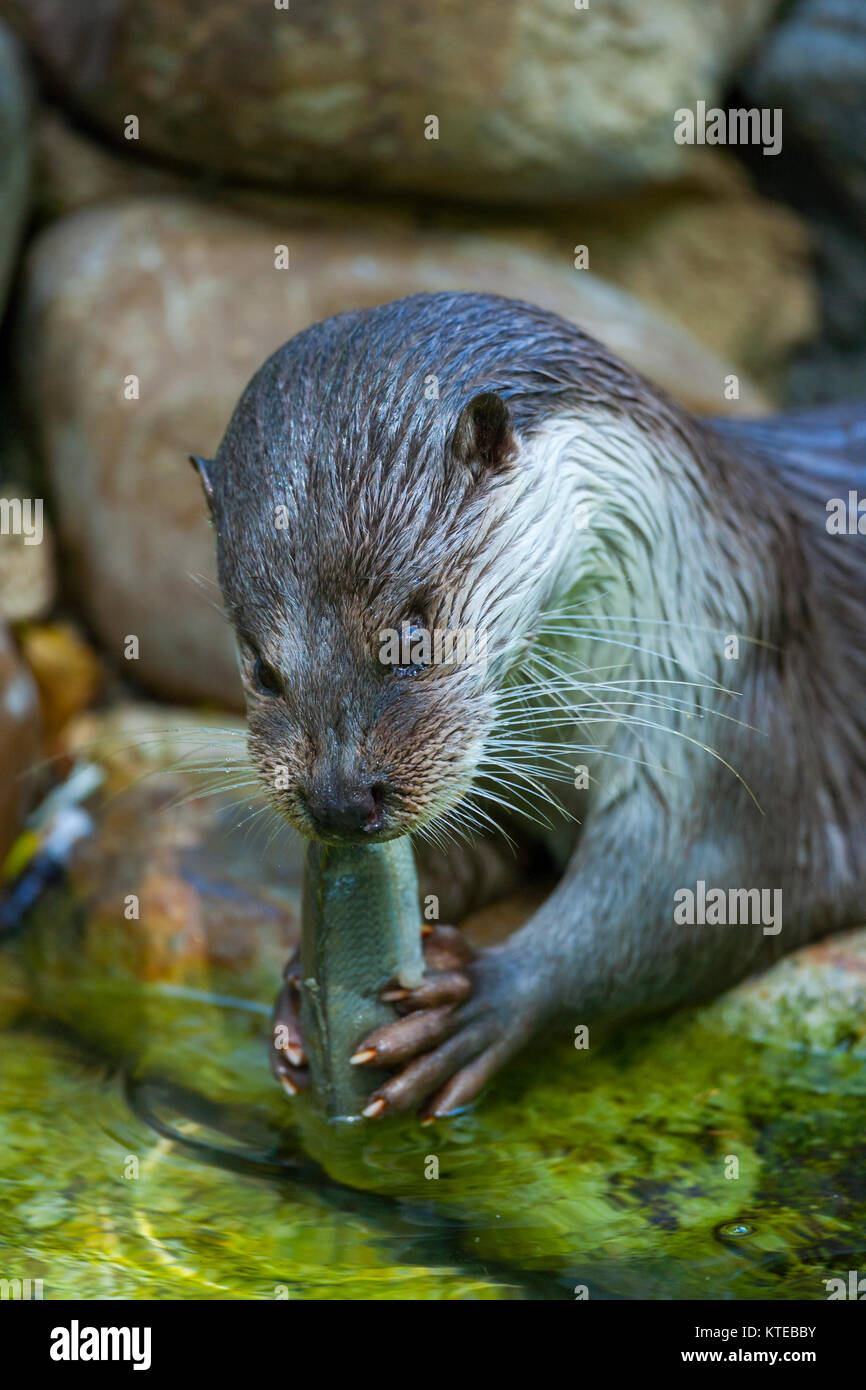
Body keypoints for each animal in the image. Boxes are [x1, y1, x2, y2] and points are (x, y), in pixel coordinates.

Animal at [191, 292, 866, 1120]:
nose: (340, 801)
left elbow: (699, 888)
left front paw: (487, 999)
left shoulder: (723, 692)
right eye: (260, 668)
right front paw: (296, 990)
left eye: (412, 632)